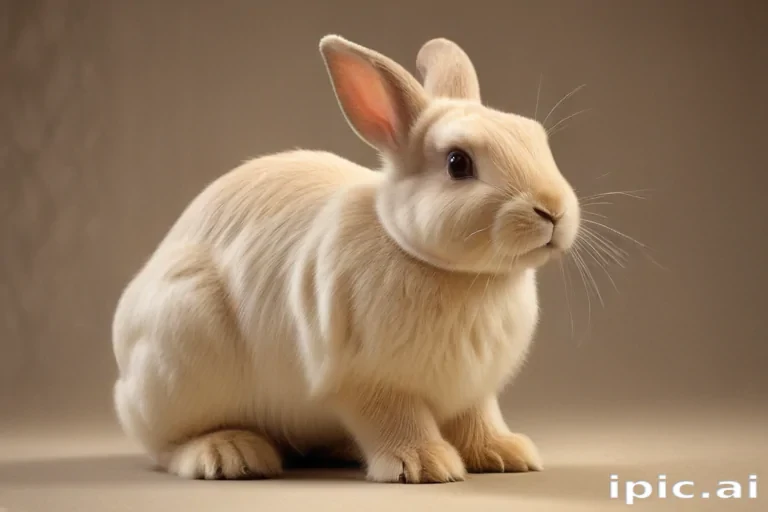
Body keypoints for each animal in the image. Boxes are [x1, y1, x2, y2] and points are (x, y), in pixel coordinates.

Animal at [111, 34, 581, 484]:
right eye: (457, 163)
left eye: (537, 140)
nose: (552, 210)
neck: (453, 272)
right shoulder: (369, 383)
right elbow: (398, 420)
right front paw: (424, 463)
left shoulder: (473, 390)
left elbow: (478, 420)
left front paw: (506, 453)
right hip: (181, 348)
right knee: (167, 443)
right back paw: (229, 453)